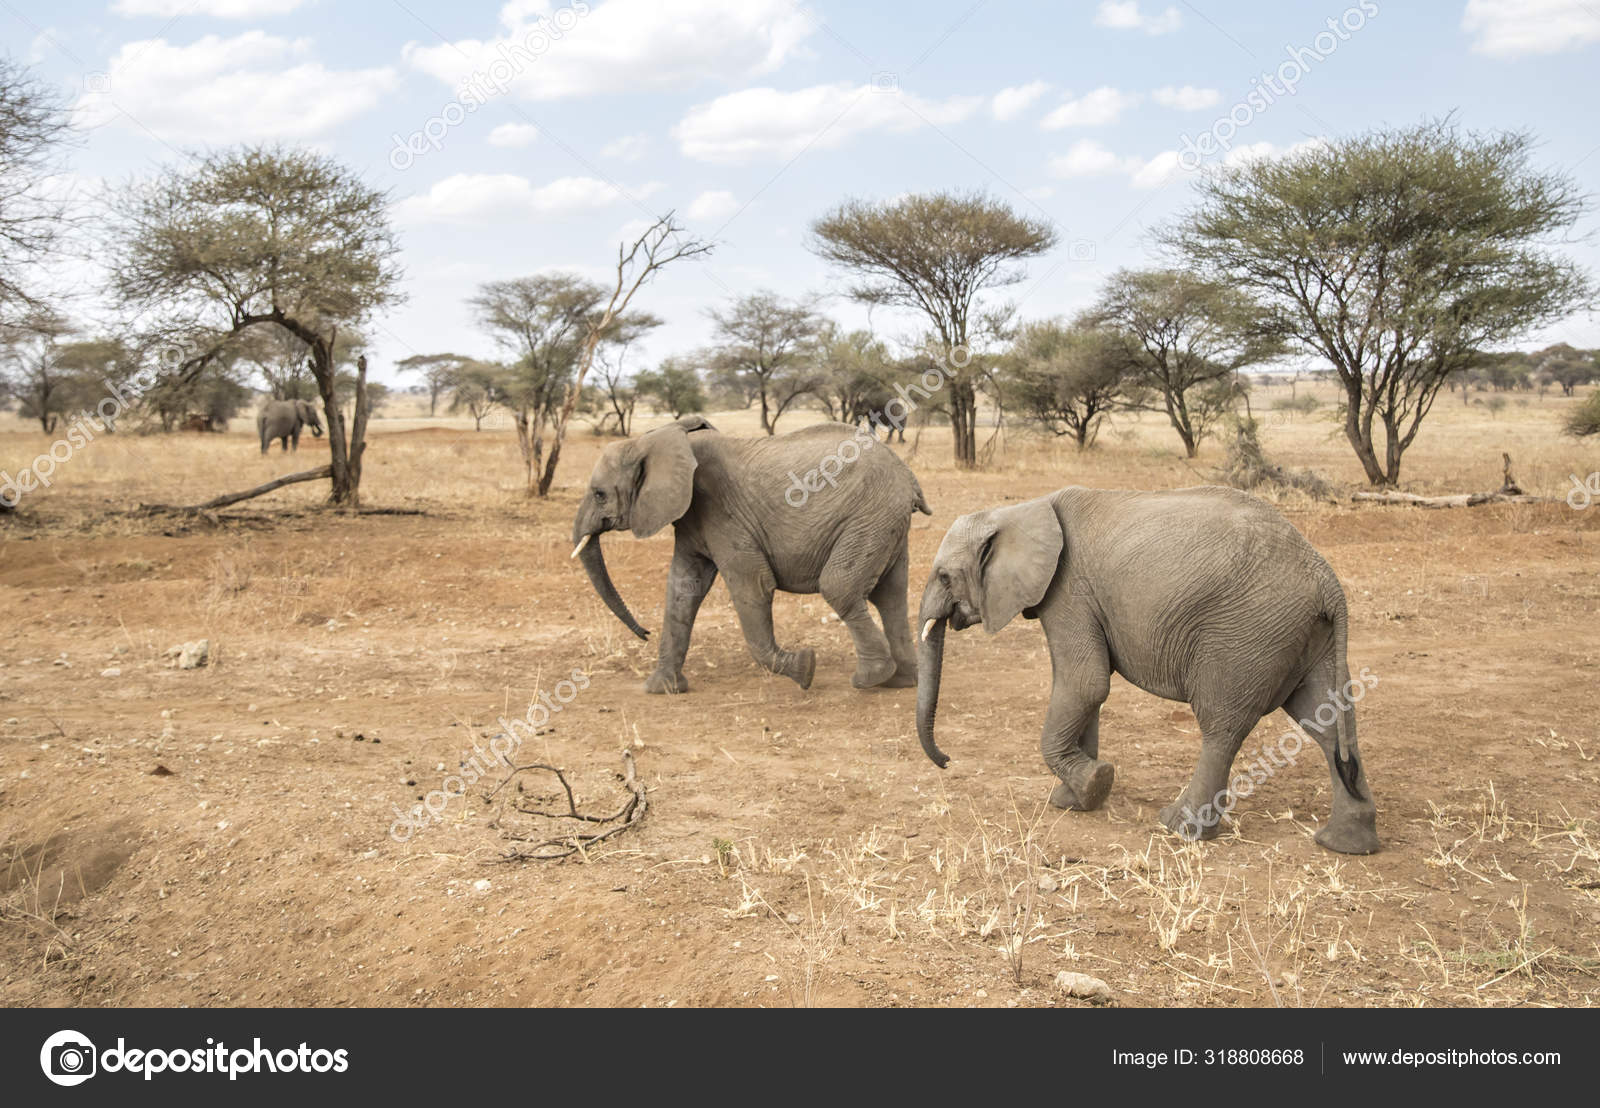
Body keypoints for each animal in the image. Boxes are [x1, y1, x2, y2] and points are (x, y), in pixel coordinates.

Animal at [572, 415, 932, 695]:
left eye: (599, 494)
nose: (644, 633)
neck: (655, 438)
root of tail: (909, 476)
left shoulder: (721, 511)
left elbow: (753, 586)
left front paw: (806, 668)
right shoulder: (691, 517)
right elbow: (682, 589)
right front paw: (661, 689)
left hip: (869, 516)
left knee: (839, 587)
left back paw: (868, 679)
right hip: (885, 522)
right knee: (890, 596)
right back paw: (900, 681)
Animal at [914, 485, 1379, 855]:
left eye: (945, 576)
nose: (947, 761)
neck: (1022, 509)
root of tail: (1326, 579)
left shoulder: (1068, 592)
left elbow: (1084, 683)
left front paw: (1094, 783)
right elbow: (1088, 692)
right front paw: (1076, 799)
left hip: (1247, 632)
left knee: (1222, 725)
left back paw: (1180, 827)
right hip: (1305, 634)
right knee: (1328, 722)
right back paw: (1345, 845)